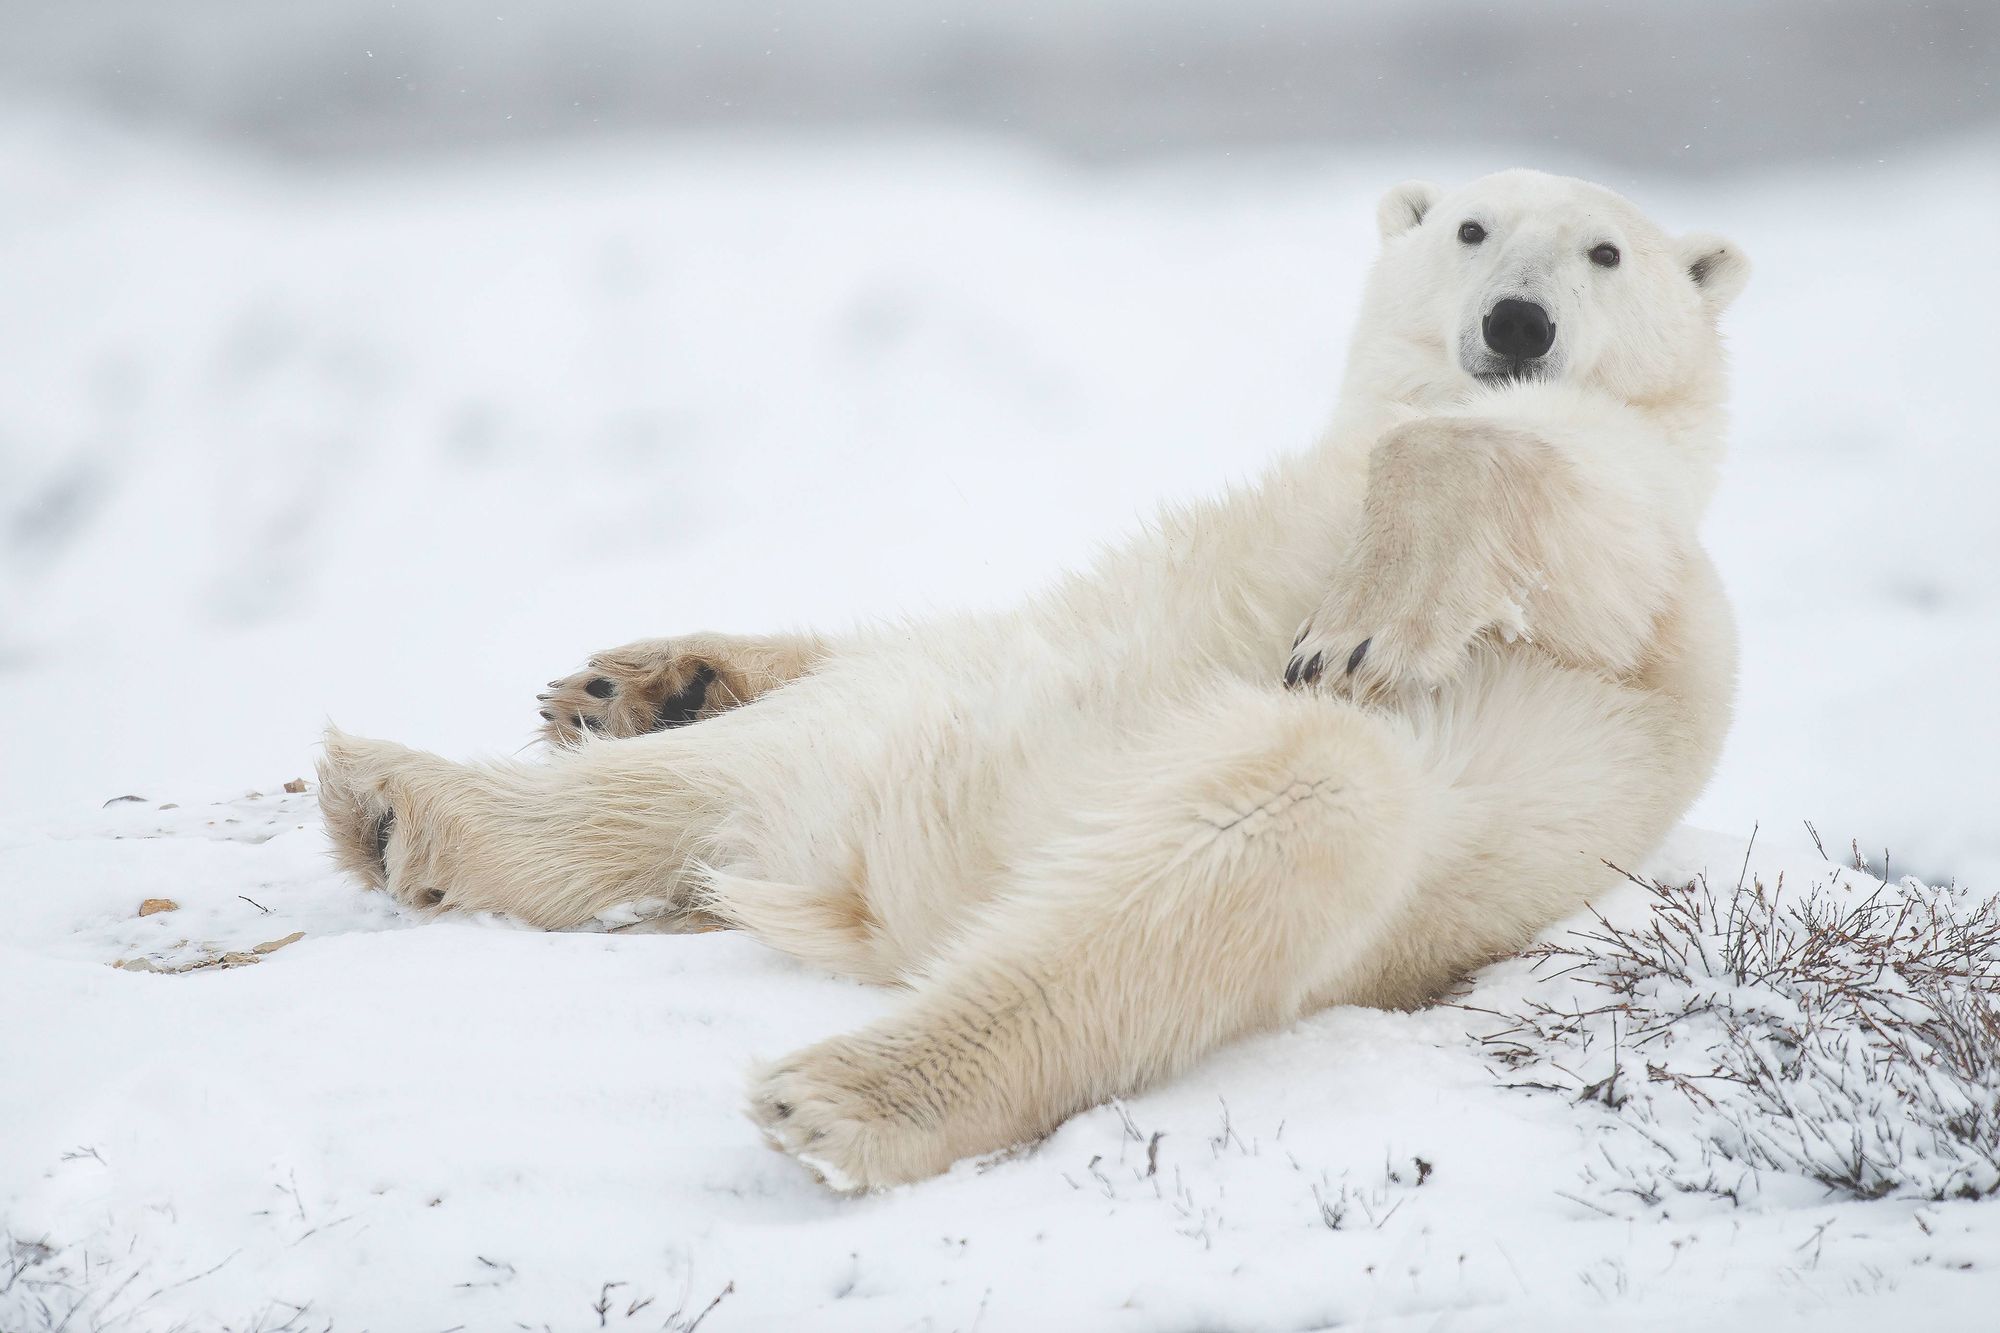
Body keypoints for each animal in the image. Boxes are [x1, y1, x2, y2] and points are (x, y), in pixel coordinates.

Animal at [317, 169, 1750, 1191]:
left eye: (1605, 253)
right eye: (1467, 227)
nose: (1515, 322)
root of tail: (909, 874)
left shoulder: (1640, 554)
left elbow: (1533, 514)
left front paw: (1358, 630)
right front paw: (640, 679)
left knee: (1271, 819)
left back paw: (845, 1095)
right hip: (933, 714)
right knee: (753, 758)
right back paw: (412, 798)